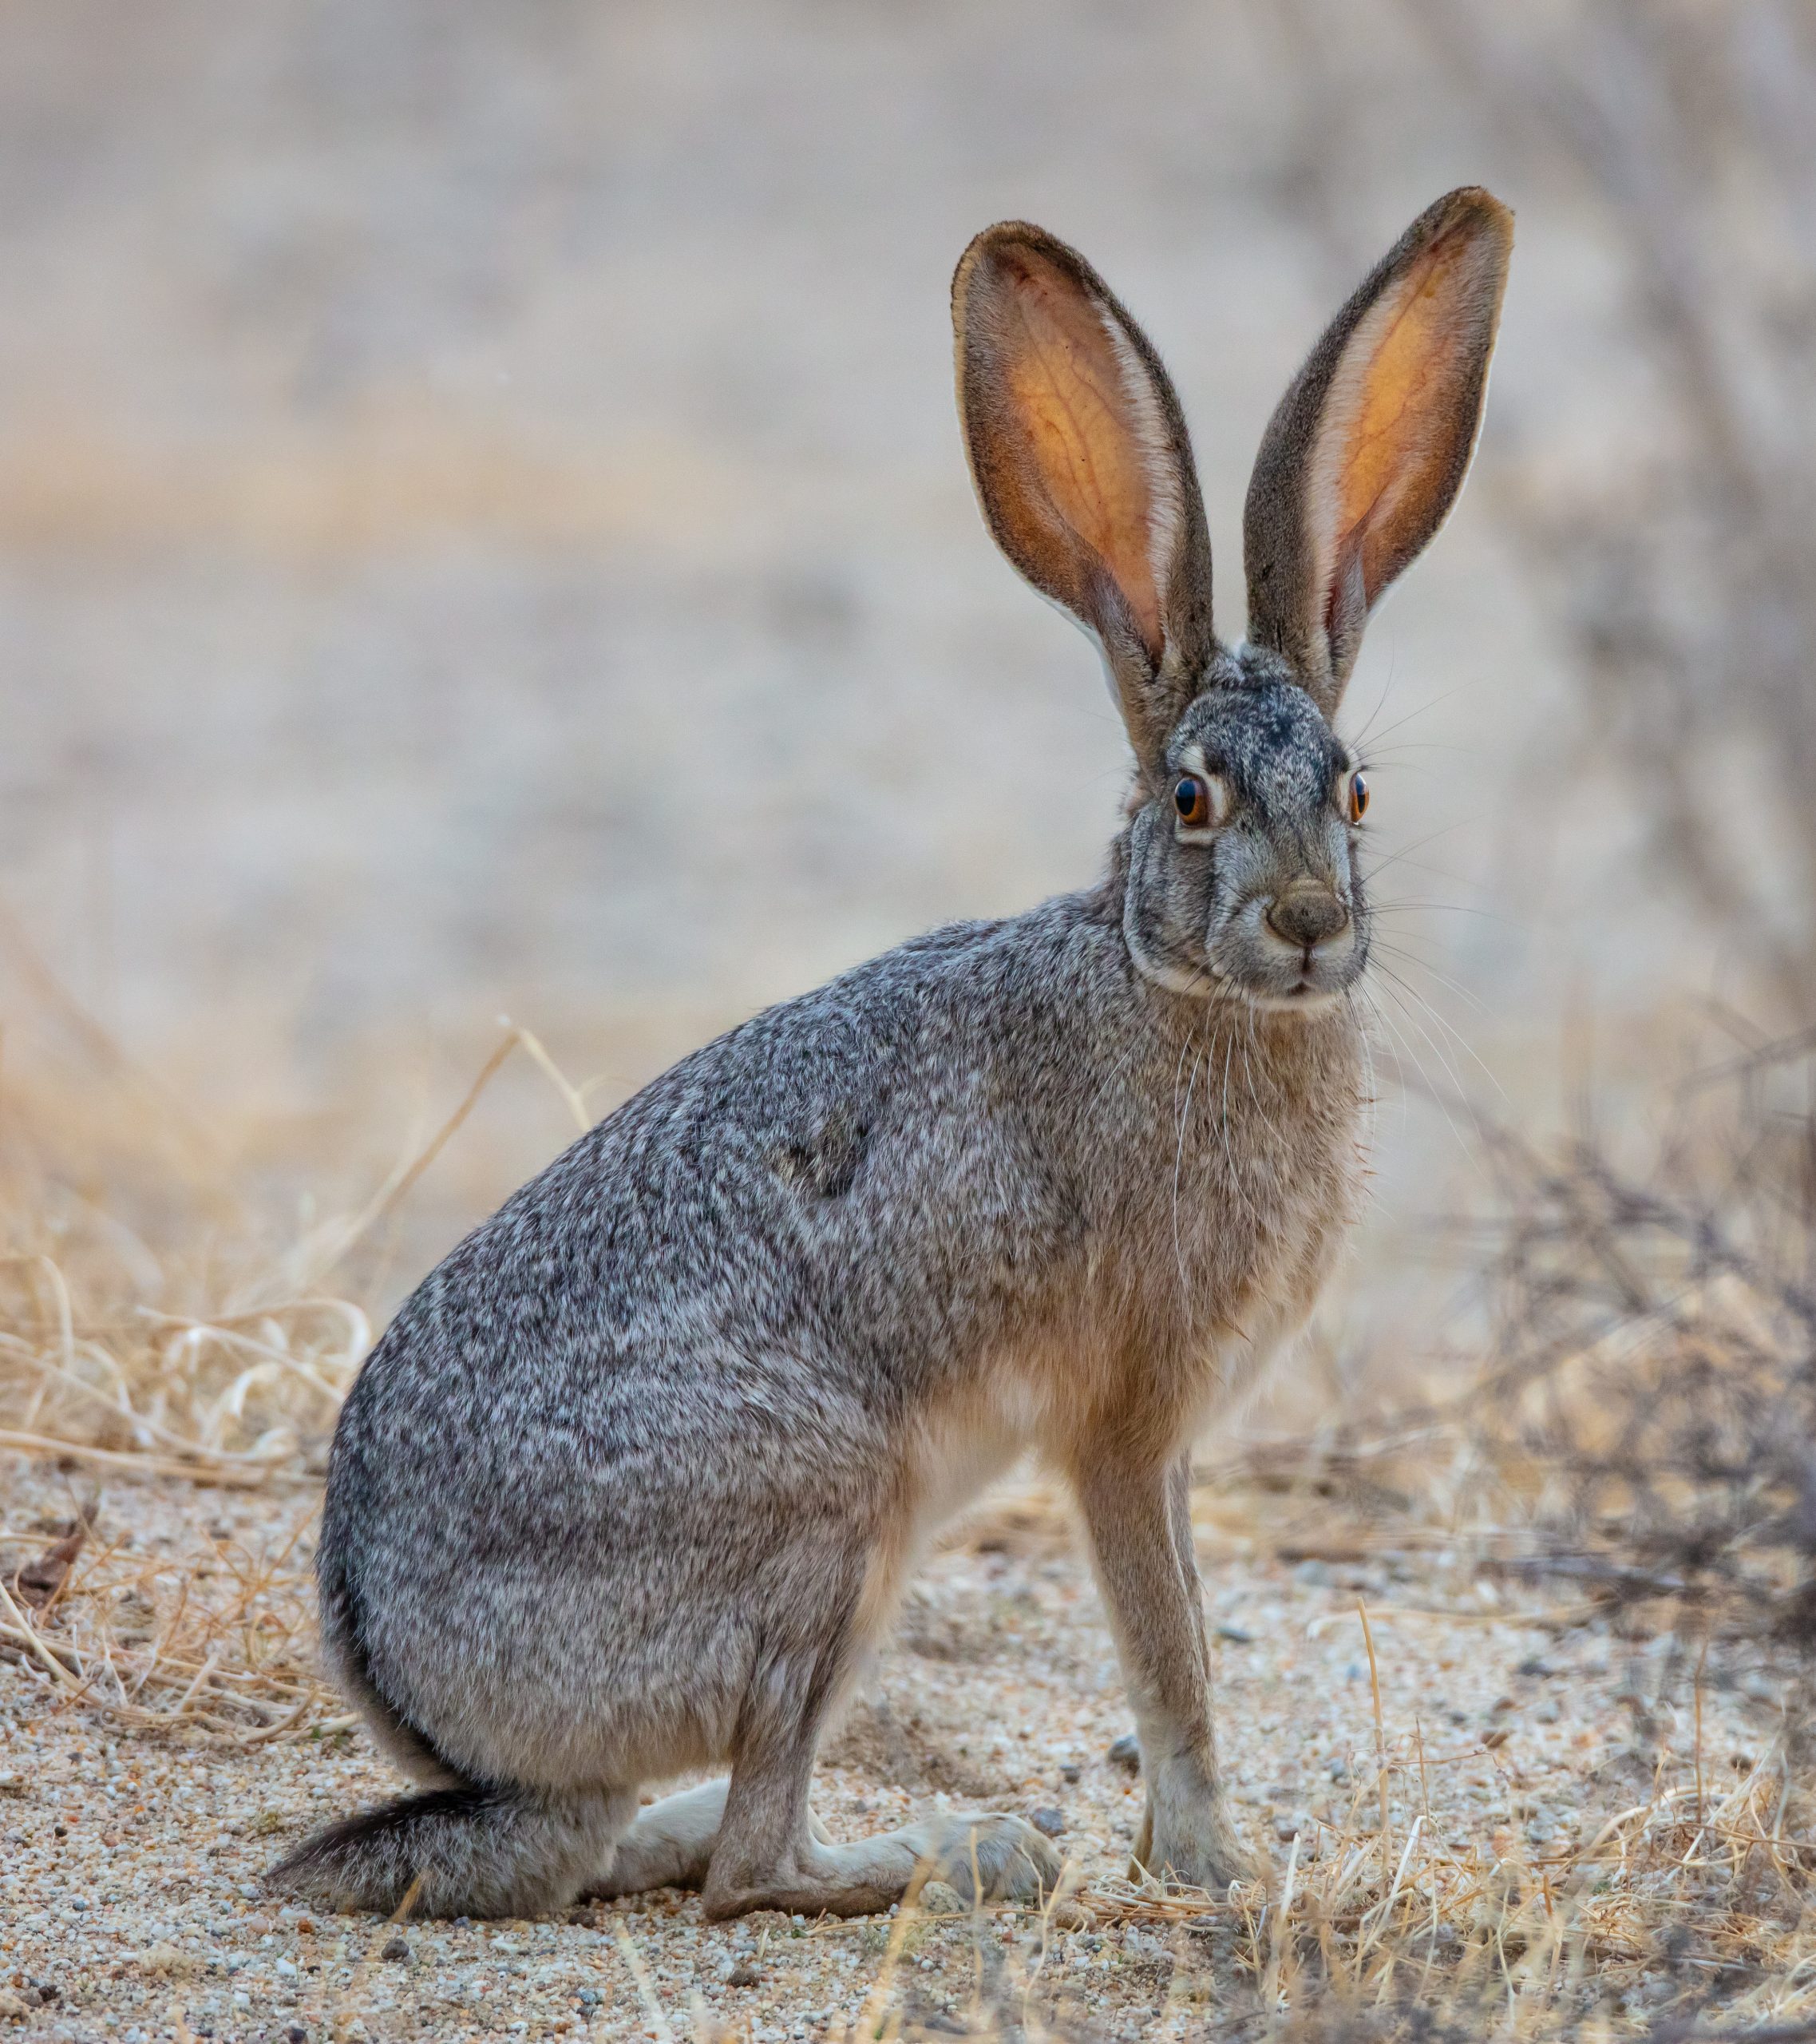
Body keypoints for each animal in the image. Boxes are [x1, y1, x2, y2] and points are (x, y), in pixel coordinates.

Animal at [271, 187, 1511, 1922]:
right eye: (1190, 797)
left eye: (1356, 792)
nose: (1313, 926)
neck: (1178, 980)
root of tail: (423, 1691)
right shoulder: (1122, 1423)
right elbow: (1172, 1653)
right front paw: (1212, 1868)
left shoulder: (1169, 1439)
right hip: (834, 1520)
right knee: (753, 1861)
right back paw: (960, 1850)